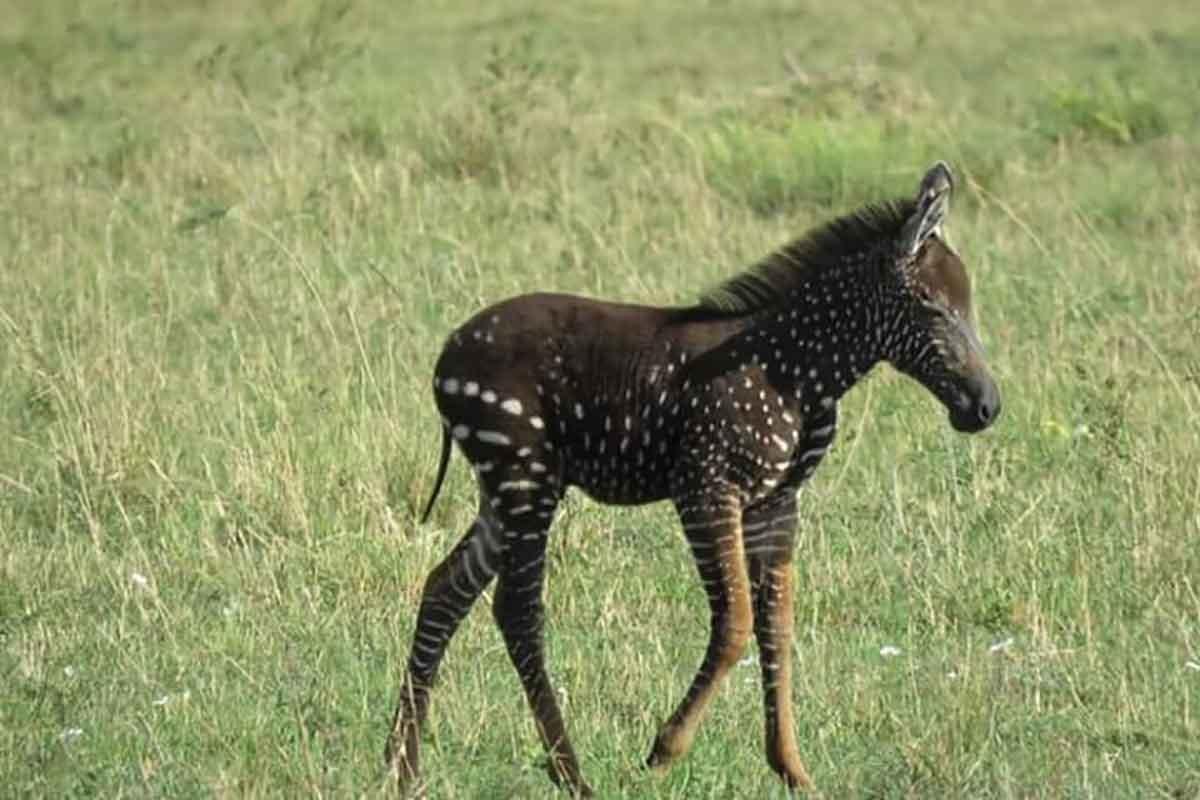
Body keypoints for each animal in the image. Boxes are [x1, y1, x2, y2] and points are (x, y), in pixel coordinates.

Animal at [386, 162, 1000, 796]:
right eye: (931, 306)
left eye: (967, 305)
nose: (986, 407)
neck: (800, 372)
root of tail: (446, 356)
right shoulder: (706, 488)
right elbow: (735, 623)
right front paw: (665, 748)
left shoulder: (777, 502)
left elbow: (776, 627)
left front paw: (791, 768)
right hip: (524, 475)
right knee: (516, 610)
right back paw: (570, 773)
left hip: (506, 489)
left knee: (444, 588)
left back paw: (403, 765)